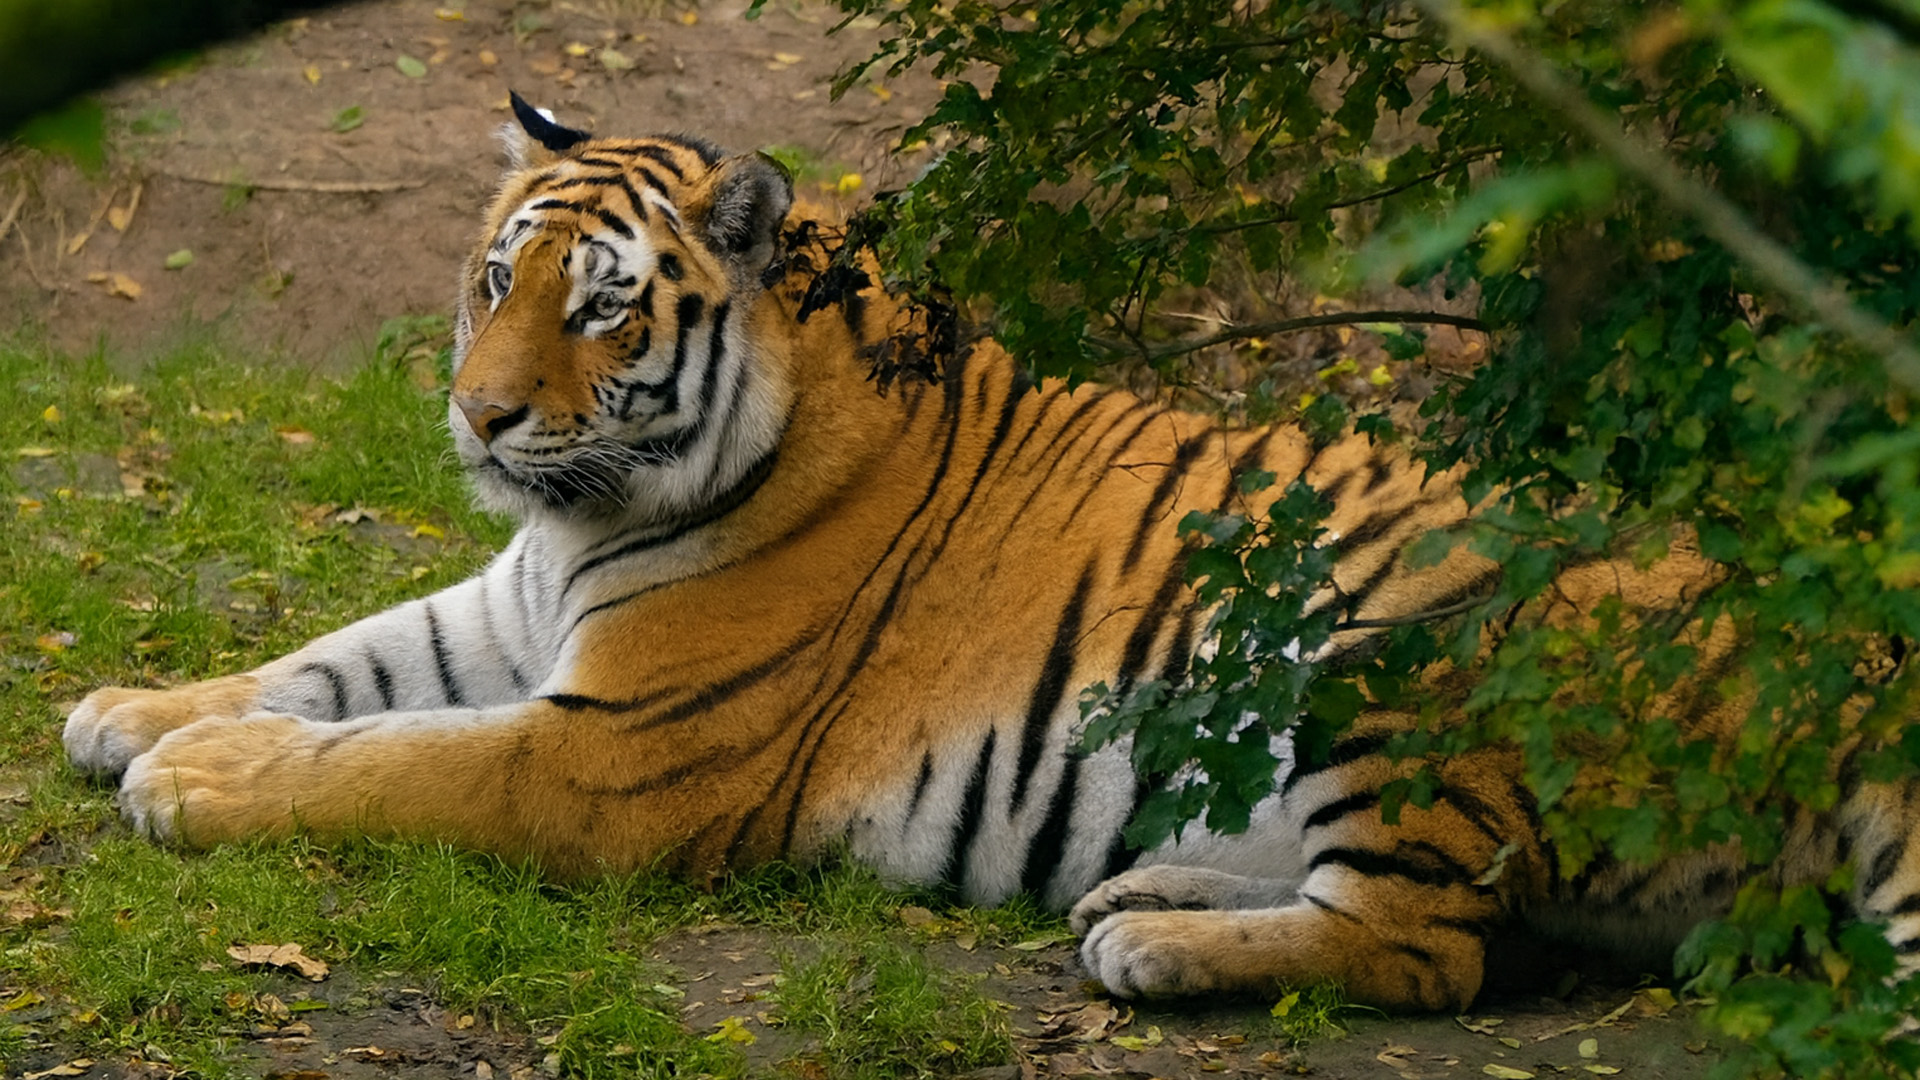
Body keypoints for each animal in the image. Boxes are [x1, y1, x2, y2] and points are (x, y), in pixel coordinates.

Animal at [59, 96, 1920, 1014]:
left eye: (599, 307)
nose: (479, 416)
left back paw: (1159, 953)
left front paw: (197, 780)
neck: (591, 520)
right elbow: (341, 661)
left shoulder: (615, 760)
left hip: (1391, 645)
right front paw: (131, 708)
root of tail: (1830, 666)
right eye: (492, 279)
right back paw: (1143, 894)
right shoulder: (508, 614)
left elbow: (394, 758)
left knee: (1432, 949)